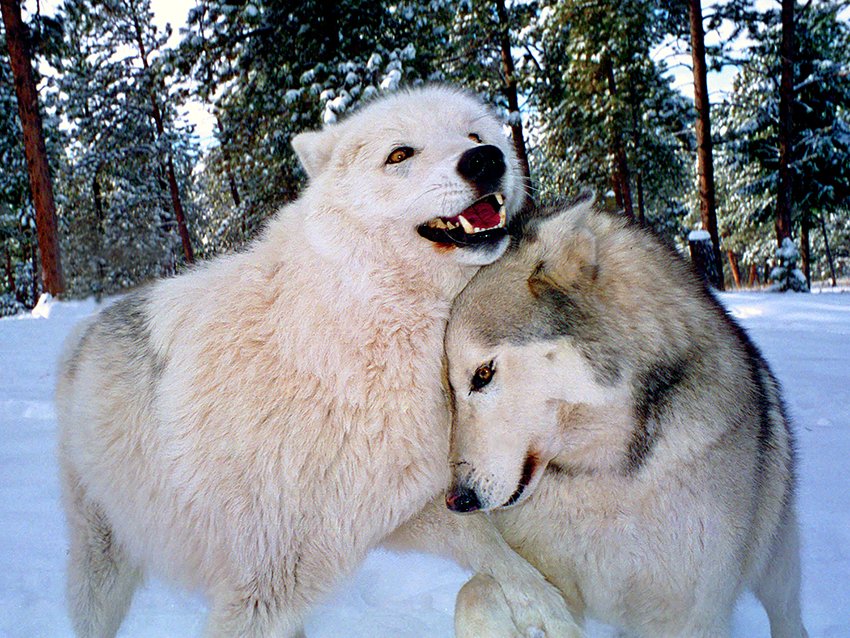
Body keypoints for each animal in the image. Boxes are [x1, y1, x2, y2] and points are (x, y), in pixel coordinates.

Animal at [56, 87, 581, 638]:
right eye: (399, 155)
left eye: (475, 134)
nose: (486, 159)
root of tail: (88, 327)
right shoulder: (257, 589)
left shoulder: (396, 510)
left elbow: (494, 549)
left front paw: (547, 607)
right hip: (101, 562)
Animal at [444, 199, 808, 638]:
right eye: (448, 386)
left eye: (483, 374)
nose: (456, 500)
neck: (601, 472)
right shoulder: (552, 584)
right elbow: (476, 596)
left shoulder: (687, 616)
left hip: (777, 567)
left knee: (787, 613)